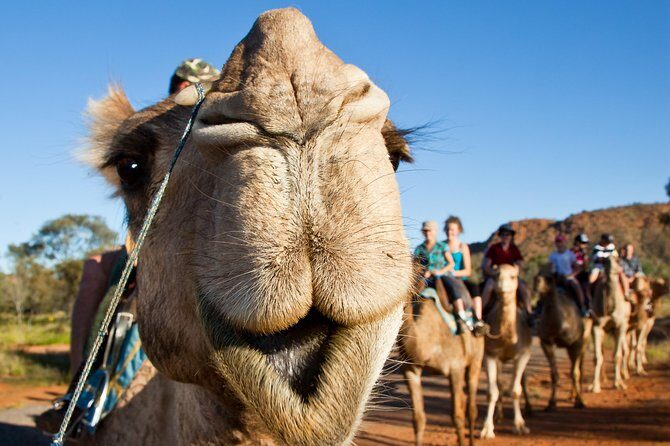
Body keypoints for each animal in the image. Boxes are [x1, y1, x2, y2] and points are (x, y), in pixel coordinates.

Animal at [400, 277, 484, 446]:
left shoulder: (456, 368)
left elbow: (457, 417)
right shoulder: (410, 370)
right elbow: (418, 419)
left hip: (476, 360)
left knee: (471, 407)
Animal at [480, 264, 533, 439]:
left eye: (513, 276)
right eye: (496, 276)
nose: (502, 288)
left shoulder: (523, 354)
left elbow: (516, 390)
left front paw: (520, 426)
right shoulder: (490, 355)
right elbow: (492, 392)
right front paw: (487, 429)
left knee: (520, 380)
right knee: (500, 383)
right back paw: (498, 415)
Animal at [534, 275, 586, 410]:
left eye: (549, 279)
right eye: (537, 276)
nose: (537, 281)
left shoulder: (576, 344)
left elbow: (575, 373)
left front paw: (580, 402)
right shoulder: (547, 343)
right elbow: (554, 374)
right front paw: (551, 403)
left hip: (583, 341)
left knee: (579, 368)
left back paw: (578, 397)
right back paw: (571, 396)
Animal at [590, 256, 631, 393]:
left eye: (617, 260)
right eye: (604, 261)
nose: (612, 270)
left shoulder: (620, 327)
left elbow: (617, 356)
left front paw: (618, 384)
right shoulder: (597, 326)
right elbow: (598, 357)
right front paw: (595, 386)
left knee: (623, 351)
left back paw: (622, 379)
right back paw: (602, 380)